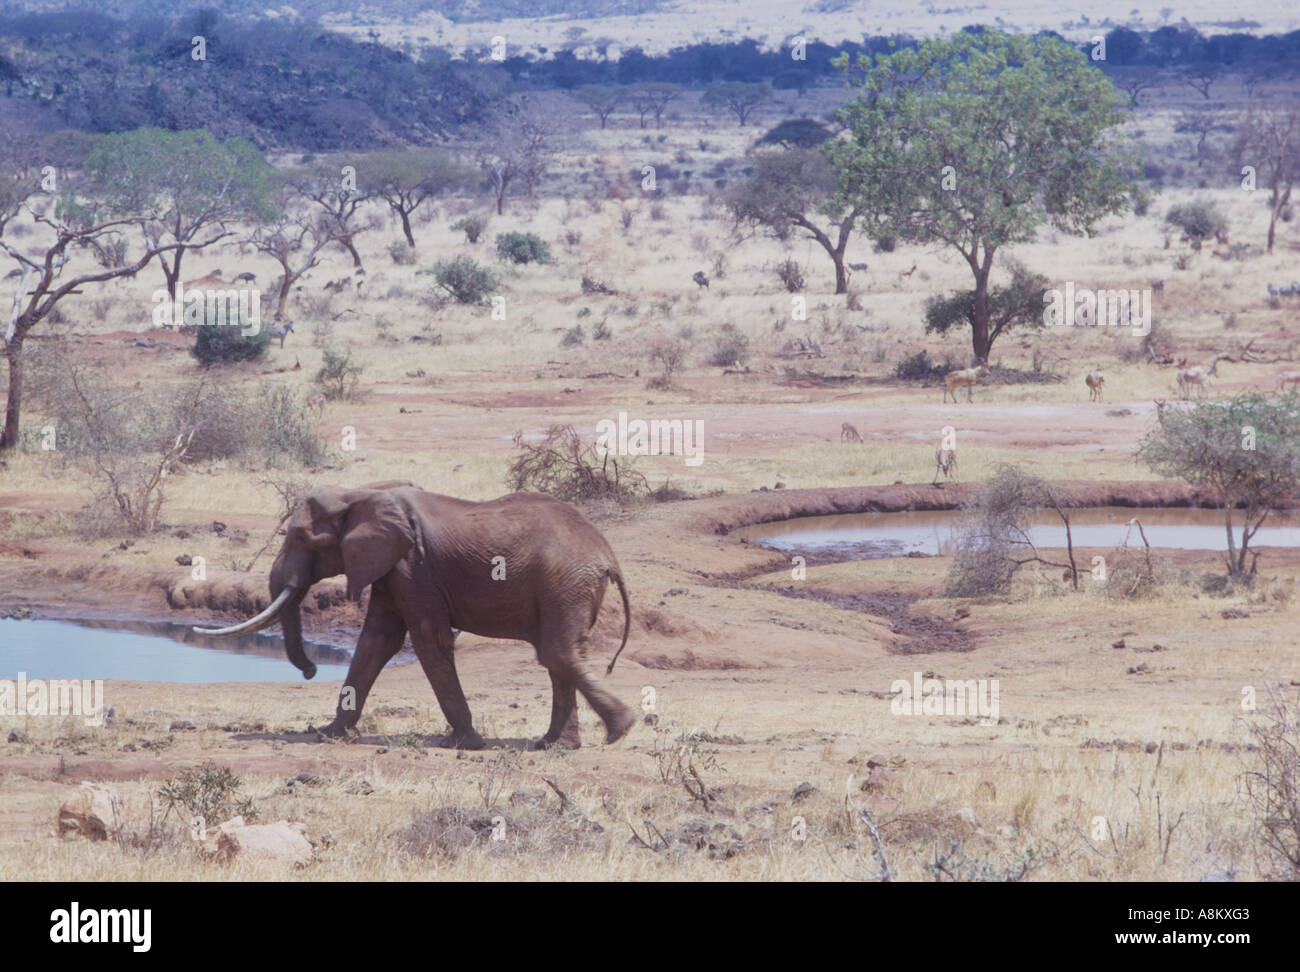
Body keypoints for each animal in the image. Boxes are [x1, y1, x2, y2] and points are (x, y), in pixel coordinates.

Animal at [194, 482, 637, 750]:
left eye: (302, 537)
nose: (310, 671)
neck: (360, 494)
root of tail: (607, 553)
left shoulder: (412, 566)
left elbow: (427, 639)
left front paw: (464, 743)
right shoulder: (388, 568)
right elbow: (377, 640)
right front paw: (329, 735)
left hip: (565, 582)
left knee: (555, 653)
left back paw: (621, 729)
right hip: (568, 585)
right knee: (559, 656)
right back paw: (557, 745)